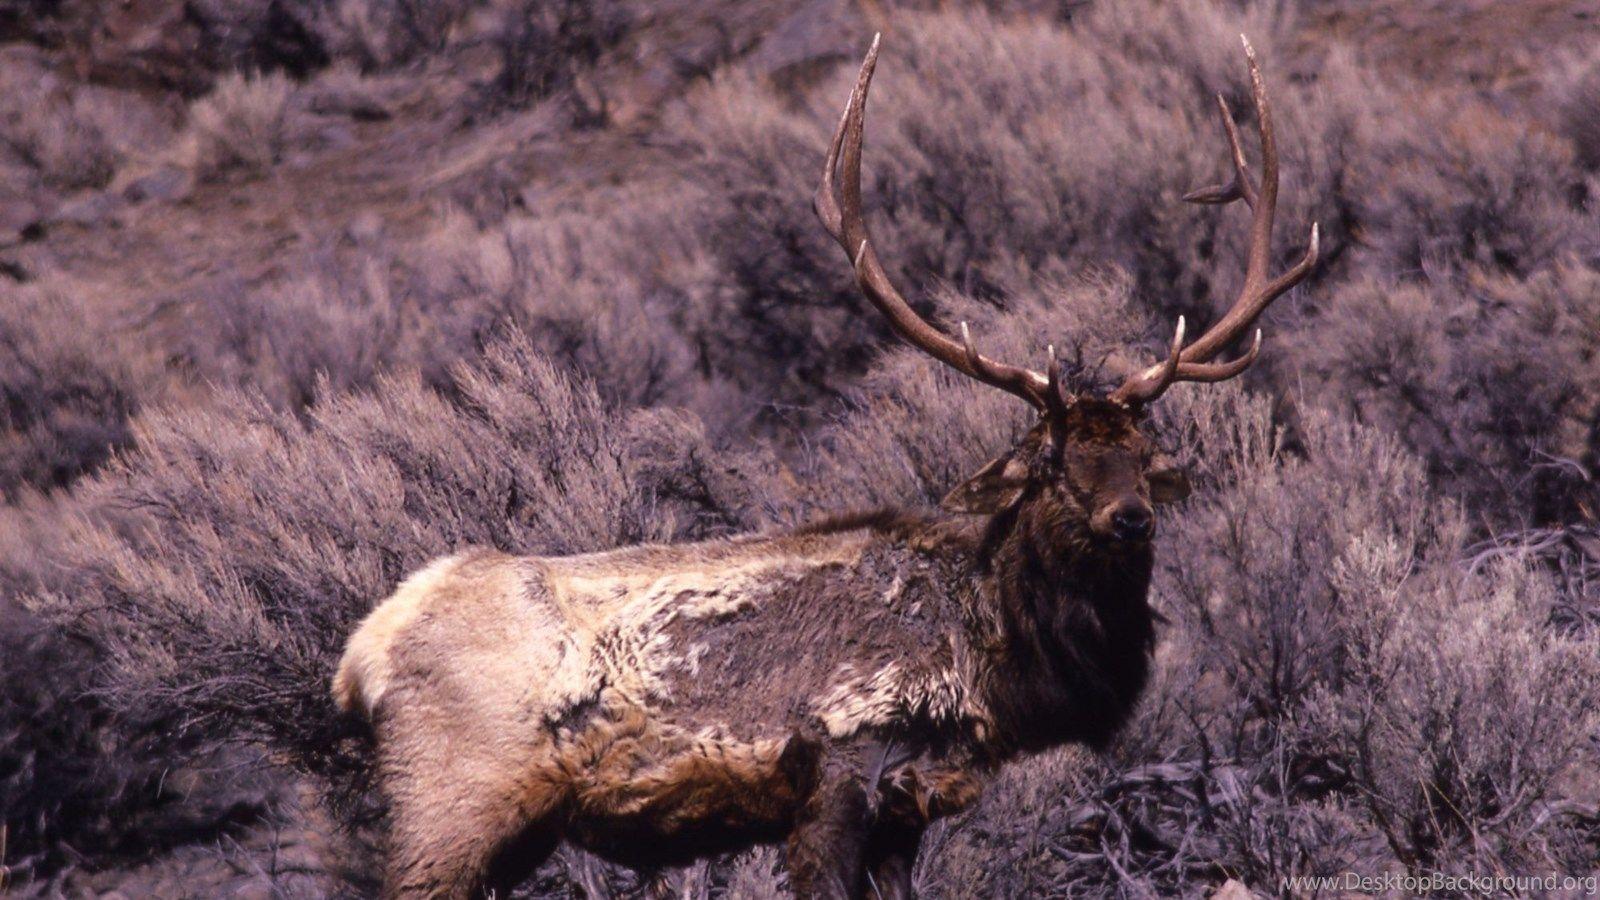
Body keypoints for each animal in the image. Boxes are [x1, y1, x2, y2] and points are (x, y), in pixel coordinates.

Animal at [332, 35, 1317, 899]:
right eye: (1050, 459)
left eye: (1147, 458)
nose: (1130, 518)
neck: (991, 663)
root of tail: (362, 655)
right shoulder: (840, 767)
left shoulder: (908, 809)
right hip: (450, 805)